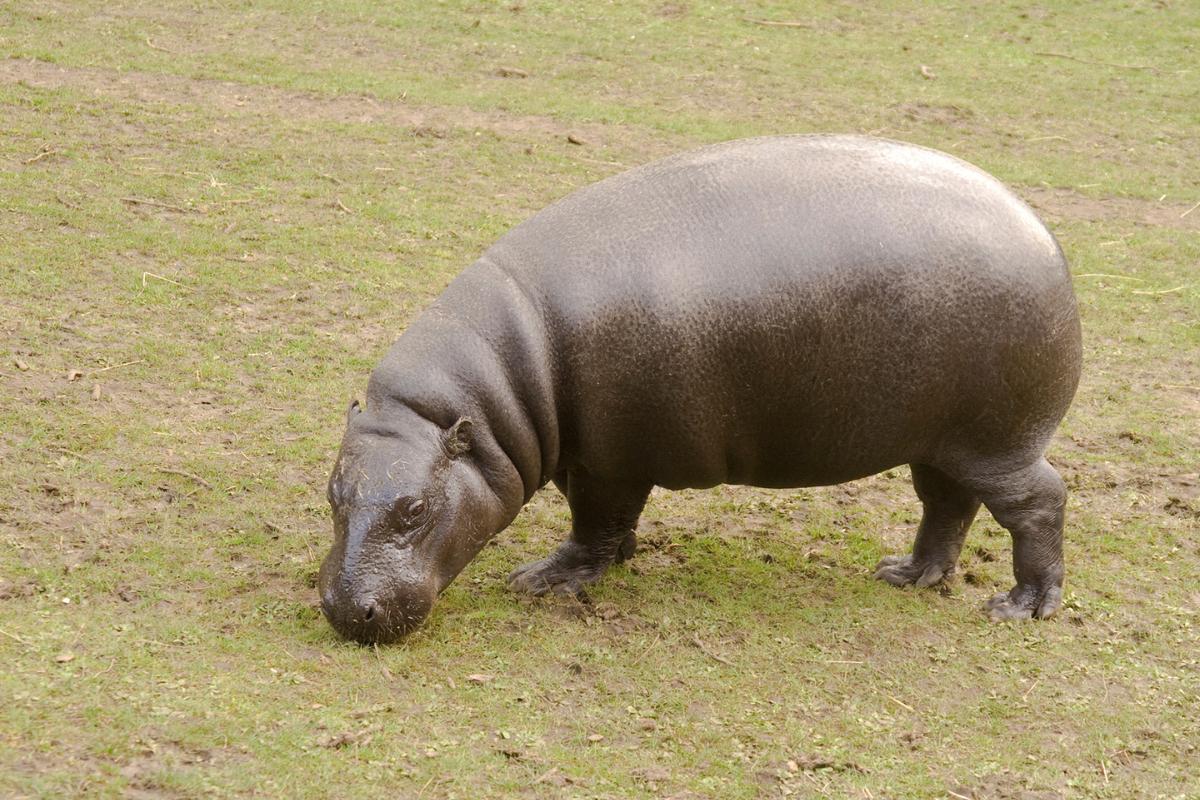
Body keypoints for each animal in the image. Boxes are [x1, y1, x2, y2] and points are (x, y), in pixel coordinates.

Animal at [318, 135, 1082, 644]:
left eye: (415, 510)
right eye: (333, 493)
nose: (342, 608)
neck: (489, 396)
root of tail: (1042, 235)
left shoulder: (609, 460)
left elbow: (592, 522)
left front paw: (543, 581)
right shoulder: (585, 455)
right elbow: (605, 520)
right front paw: (619, 556)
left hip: (998, 440)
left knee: (1039, 502)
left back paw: (1021, 607)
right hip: (941, 439)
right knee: (947, 504)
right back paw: (907, 574)